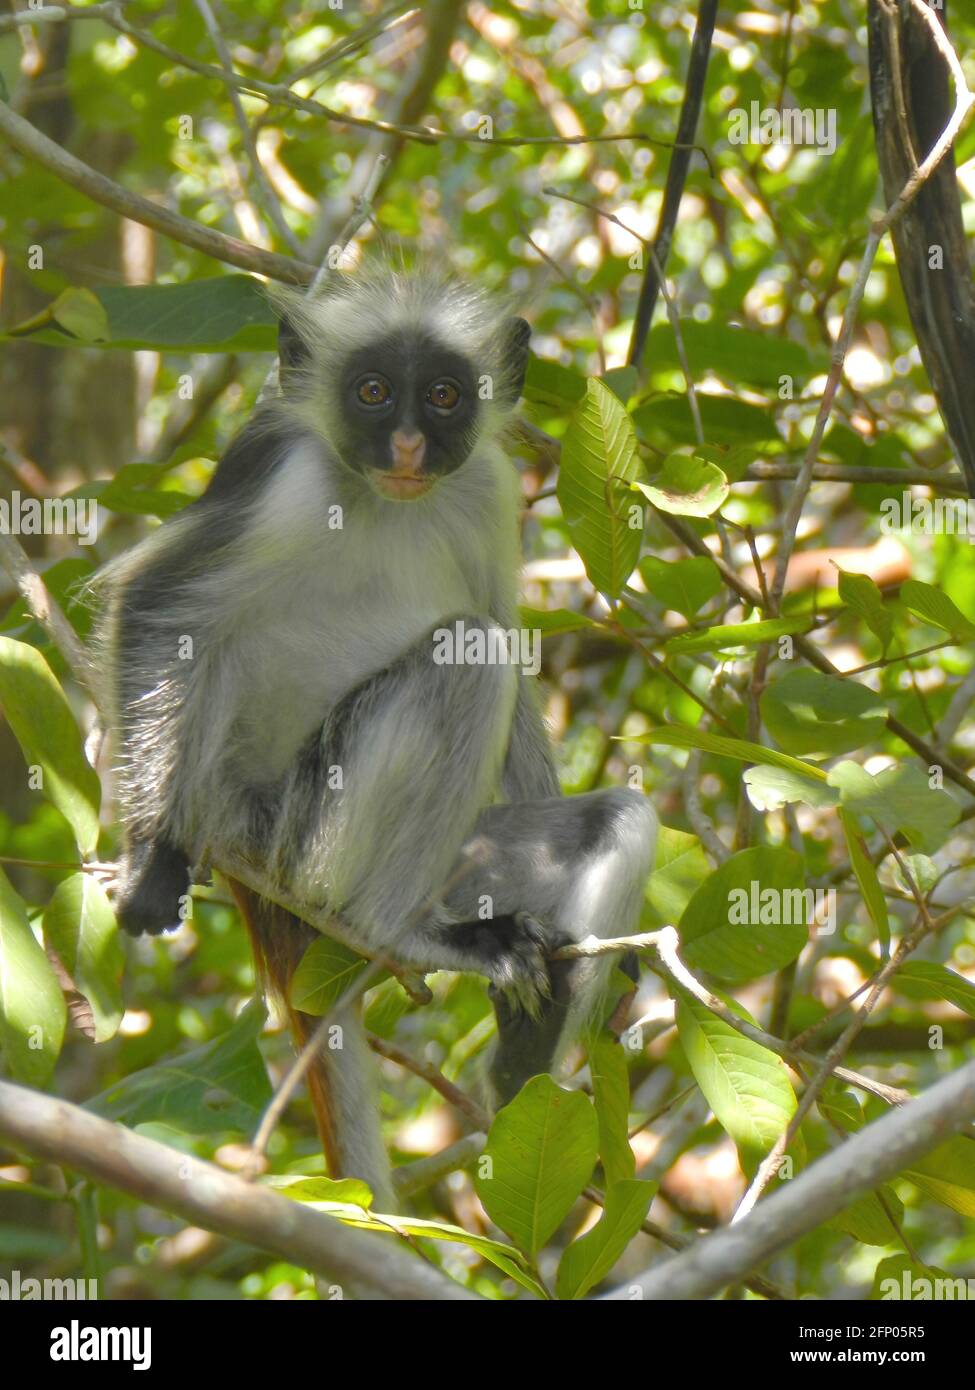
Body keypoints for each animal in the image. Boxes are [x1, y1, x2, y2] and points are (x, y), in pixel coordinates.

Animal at [94, 266, 657, 1212]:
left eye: (442, 396)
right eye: (370, 392)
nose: (405, 445)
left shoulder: (485, 487)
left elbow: (512, 658)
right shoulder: (278, 474)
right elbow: (155, 603)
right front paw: (149, 860)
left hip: (468, 860)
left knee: (618, 814)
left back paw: (526, 1052)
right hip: (291, 836)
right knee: (465, 661)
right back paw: (398, 930)